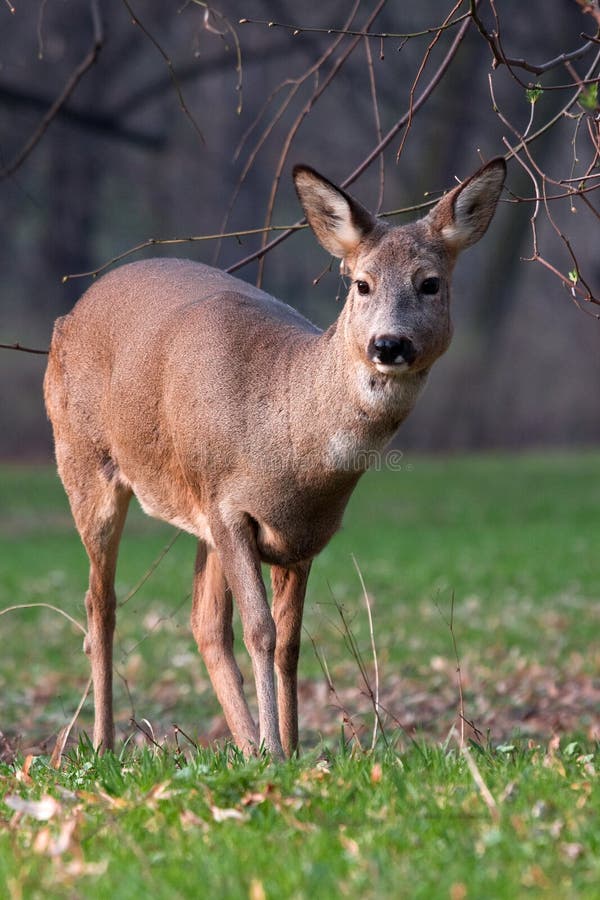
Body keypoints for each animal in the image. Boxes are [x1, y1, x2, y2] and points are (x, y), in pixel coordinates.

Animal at [44, 157, 506, 759]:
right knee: (100, 603)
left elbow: (289, 643)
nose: (389, 344)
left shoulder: (298, 533)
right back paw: (102, 745)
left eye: (430, 283)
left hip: (196, 507)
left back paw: (244, 744)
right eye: (361, 283)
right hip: (84, 462)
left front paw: (290, 748)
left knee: (203, 623)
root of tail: (73, 310)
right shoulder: (230, 510)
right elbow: (260, 632)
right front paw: (279, 749)